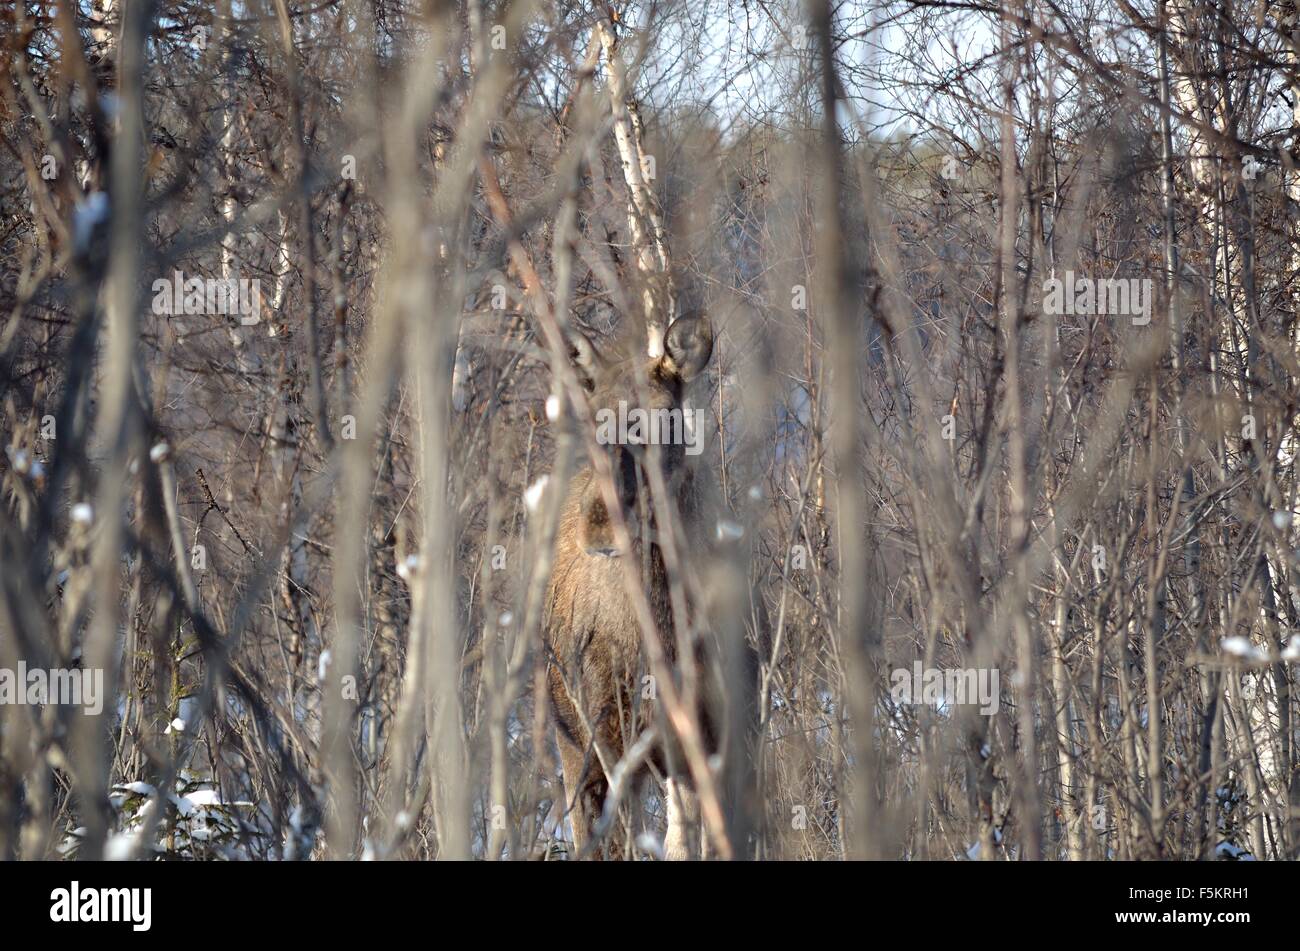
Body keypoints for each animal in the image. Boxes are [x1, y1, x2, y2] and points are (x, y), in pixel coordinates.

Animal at [542, 311, 758, 860]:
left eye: (664, 418)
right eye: (593, 418)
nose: (601, 526)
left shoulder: (720, 736)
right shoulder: (613, 744)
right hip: (574, 740)